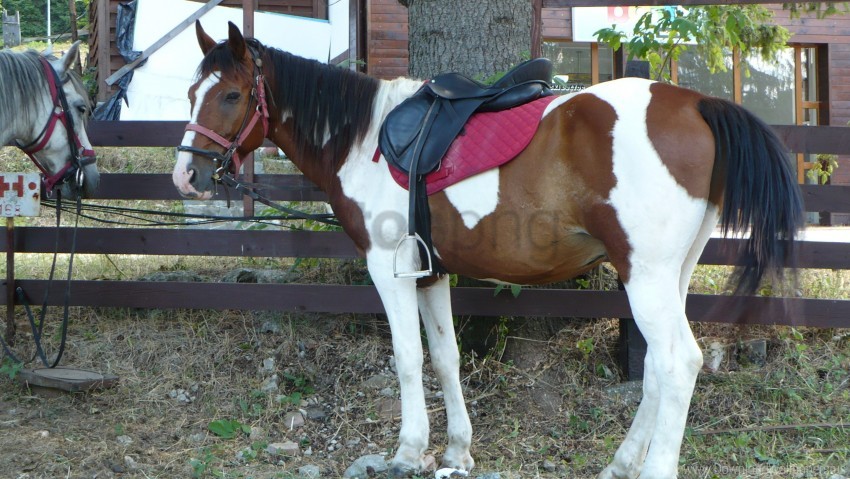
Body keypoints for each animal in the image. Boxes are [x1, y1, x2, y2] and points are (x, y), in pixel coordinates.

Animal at [173, 22, 804, 479]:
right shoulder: (429, 272)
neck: (365, 137)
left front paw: (407, 451)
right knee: (657, 367)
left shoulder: (388, 269)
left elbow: (408, 358)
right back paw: (620, 464)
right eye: (191, 91)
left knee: (679, 363)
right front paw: (455, 451)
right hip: (668, 276)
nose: (188, 176)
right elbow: (446, 358)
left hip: (645, 277)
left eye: (231, 94)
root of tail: (697, 103)